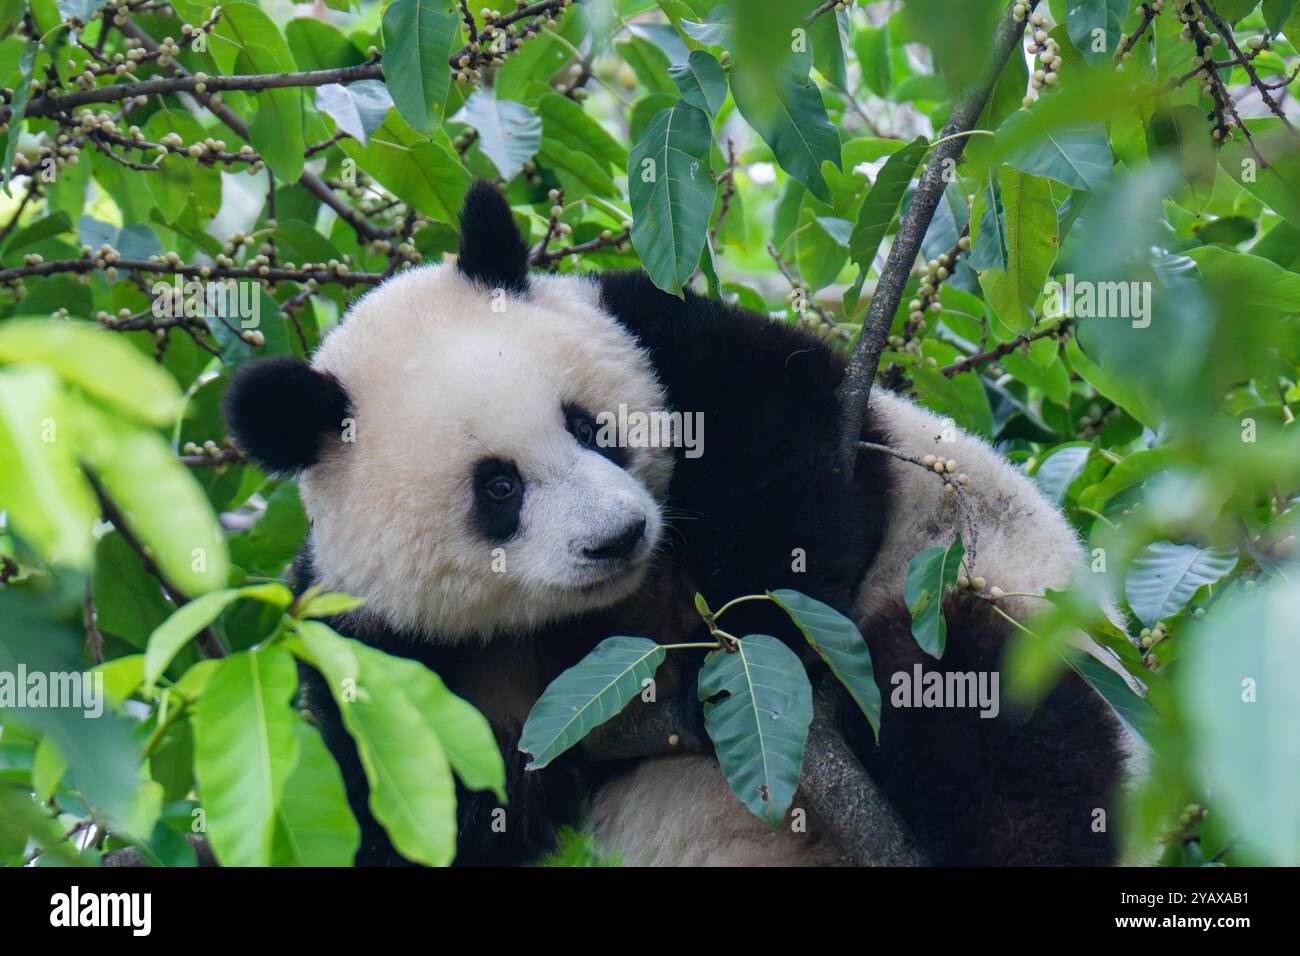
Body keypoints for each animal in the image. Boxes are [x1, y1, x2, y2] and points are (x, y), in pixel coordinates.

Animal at [223, 181, 1135, 867]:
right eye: (498, 488)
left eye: (589, 427)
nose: (618, 537)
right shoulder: (404, 650)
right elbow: (440, 809)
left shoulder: (662, 338)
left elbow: (786, 437)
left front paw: (736, 666)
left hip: (990, 585)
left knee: (989, 716)